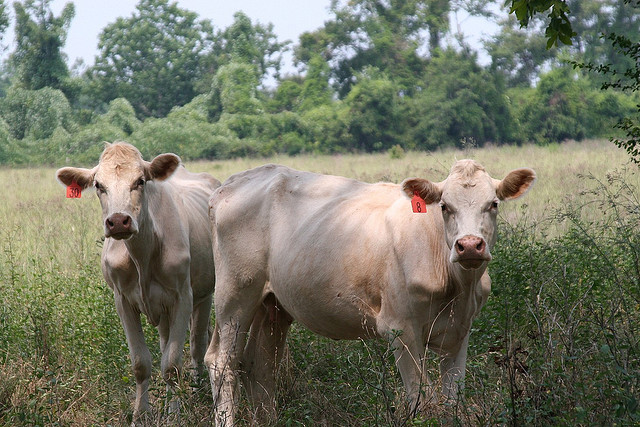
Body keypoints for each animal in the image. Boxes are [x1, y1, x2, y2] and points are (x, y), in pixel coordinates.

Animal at [56, 142, 219, 421]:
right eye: (98, 185)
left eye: (140, 181)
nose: (118, 221)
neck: (143, 254)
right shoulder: (123, 300)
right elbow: (142, 363)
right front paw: (141, 414)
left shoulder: (182, 297)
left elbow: (173, 364)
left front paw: (174, 414)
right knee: (168, 343)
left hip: (205, 293)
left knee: (198, 344)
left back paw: (199, 391)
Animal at [204, 160, 535, 425]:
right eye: (444, 206)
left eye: (493, 204)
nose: (469, 245)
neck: (456, 286)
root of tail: (231, 183)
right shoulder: (400, 328)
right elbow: (422, 401)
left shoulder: (460, 331)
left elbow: (452, 402)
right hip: (235, 293)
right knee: (222, 362)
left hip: (273, 304)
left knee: (260, 365)